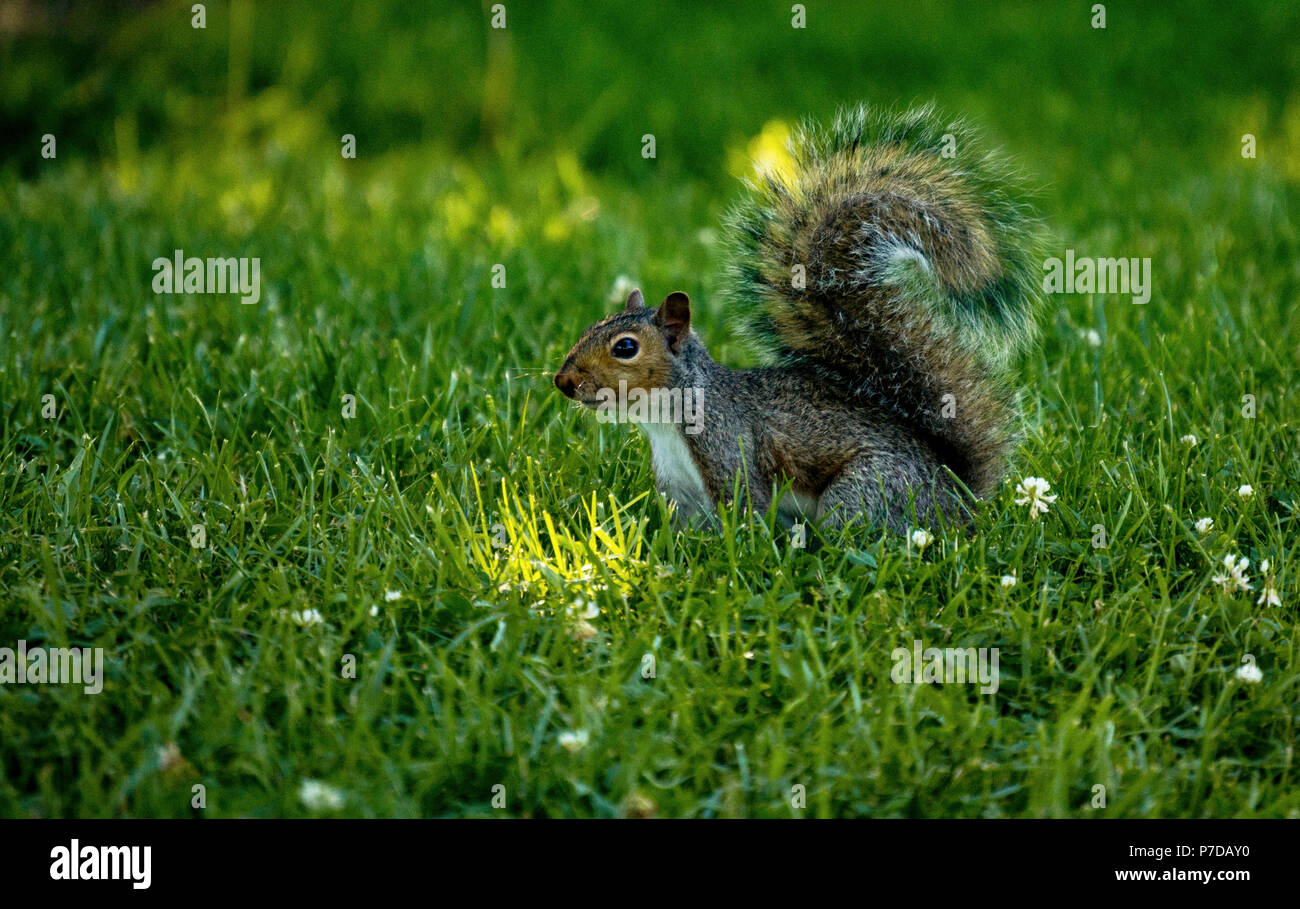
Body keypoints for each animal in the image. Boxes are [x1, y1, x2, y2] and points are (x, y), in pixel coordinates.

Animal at [553, 104, 1043, 533]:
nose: (563, 382)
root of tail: (957, 498)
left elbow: (746, 511)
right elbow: (680, 530)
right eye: (590, 328)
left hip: (863, 493)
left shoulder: (729, 451)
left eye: (626, 347)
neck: (666, 416)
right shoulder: (679, 489)